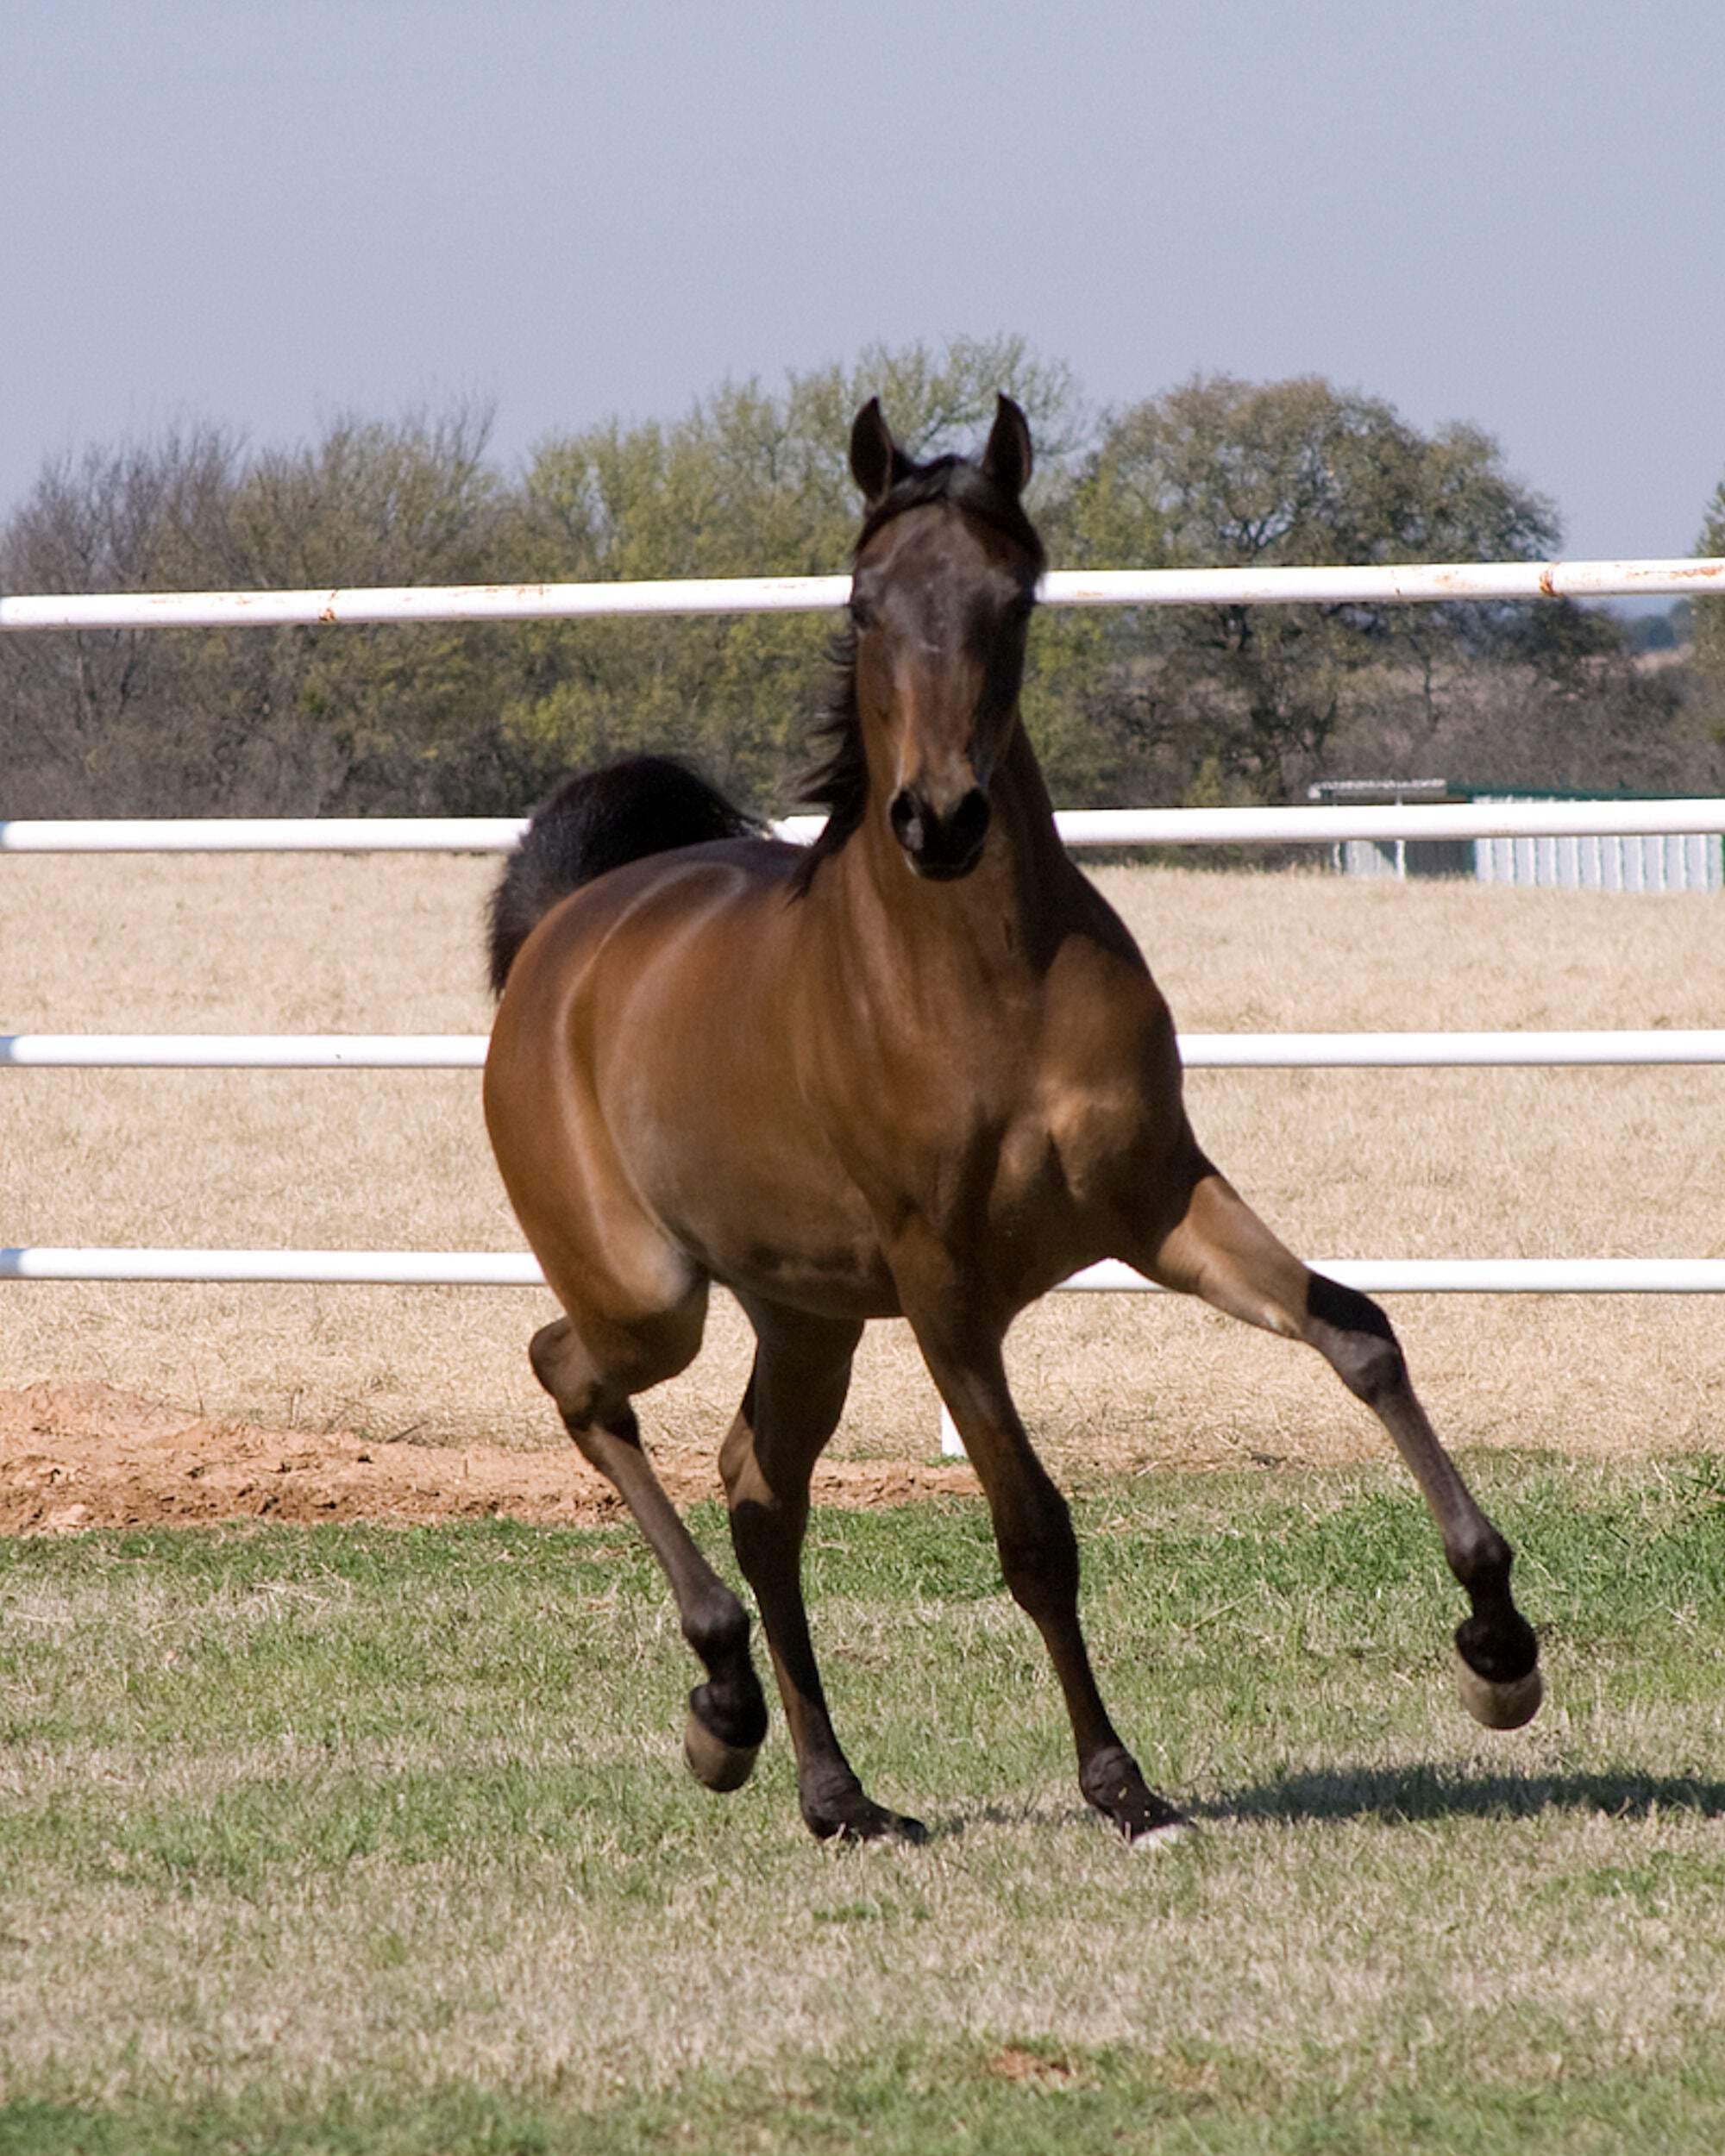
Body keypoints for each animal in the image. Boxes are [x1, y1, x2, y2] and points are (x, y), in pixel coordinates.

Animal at [482, 395, 1542, 1847]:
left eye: (1013, 599)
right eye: (865, 601)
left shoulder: (1160, 1202)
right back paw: (723, 1708)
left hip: (804, 1314)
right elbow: (1033, 1529)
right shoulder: (947, 1289)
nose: (939, 819)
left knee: (759, 1487)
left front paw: (1499, 1651)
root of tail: (563, 938)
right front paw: (1122, 1786)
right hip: (654, 1294)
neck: (986, 985)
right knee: (572, 1374)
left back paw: (832, 1791)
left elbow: (1359, 1338)